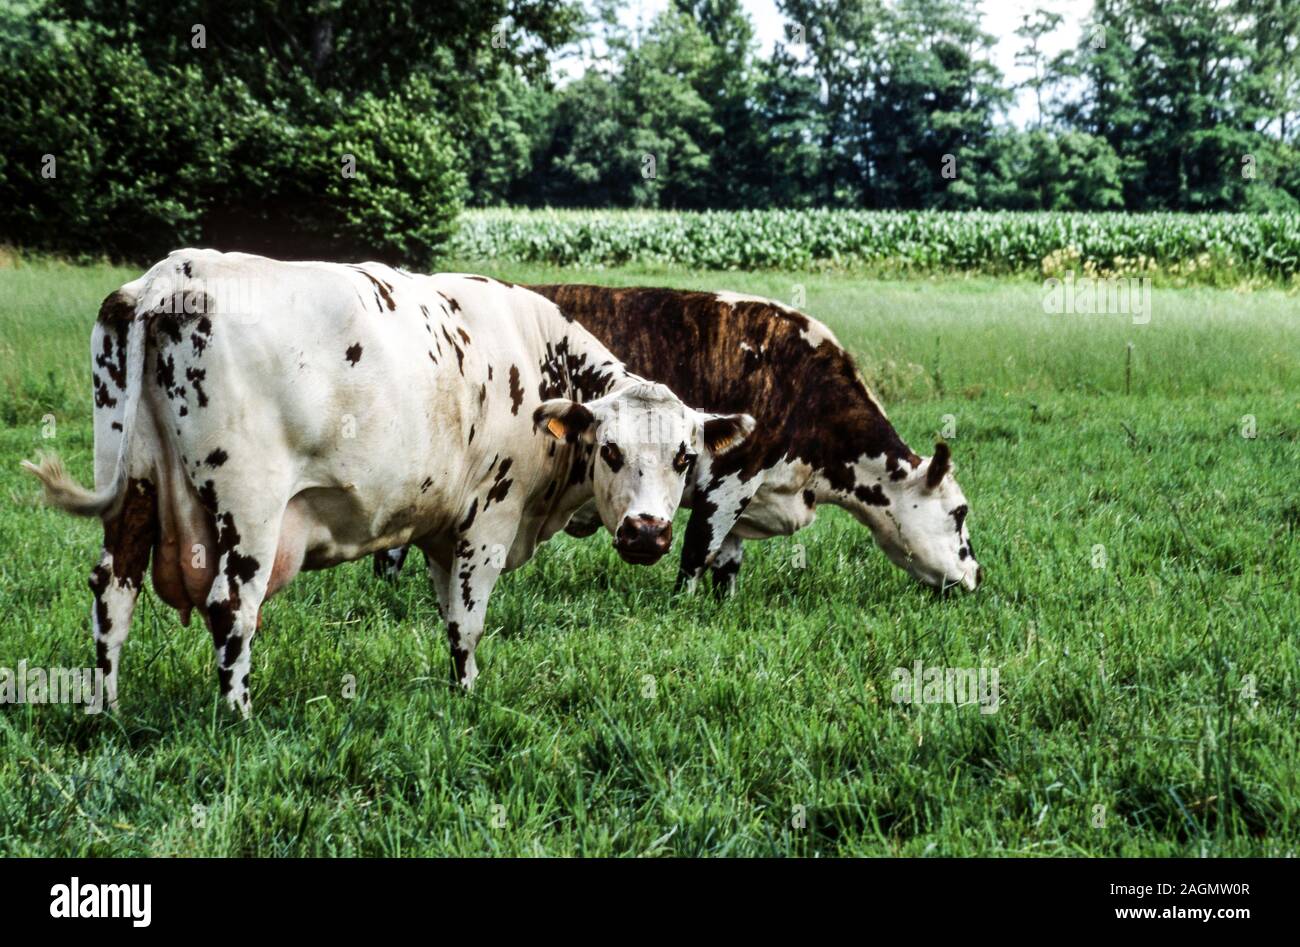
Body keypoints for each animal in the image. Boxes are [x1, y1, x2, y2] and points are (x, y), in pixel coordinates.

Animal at [23, 251, 753, 715]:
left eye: (684, 457)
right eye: (610, 449)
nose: (647, 532)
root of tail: (172, 273)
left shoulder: (441, 530)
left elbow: (450, 617)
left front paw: (458, 690)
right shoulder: (489, 521)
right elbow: (469, 620)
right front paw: (471, 697)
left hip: (135, 487)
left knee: (113, 593)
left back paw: (106, 708)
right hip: (249, 512)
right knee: (232, 606)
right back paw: (237, 715)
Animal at [375, 285, 981, 597]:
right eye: (959, 513)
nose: (977, 574)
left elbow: (727, 562)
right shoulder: (734, 476)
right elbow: (697, 553)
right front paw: (681, 607)